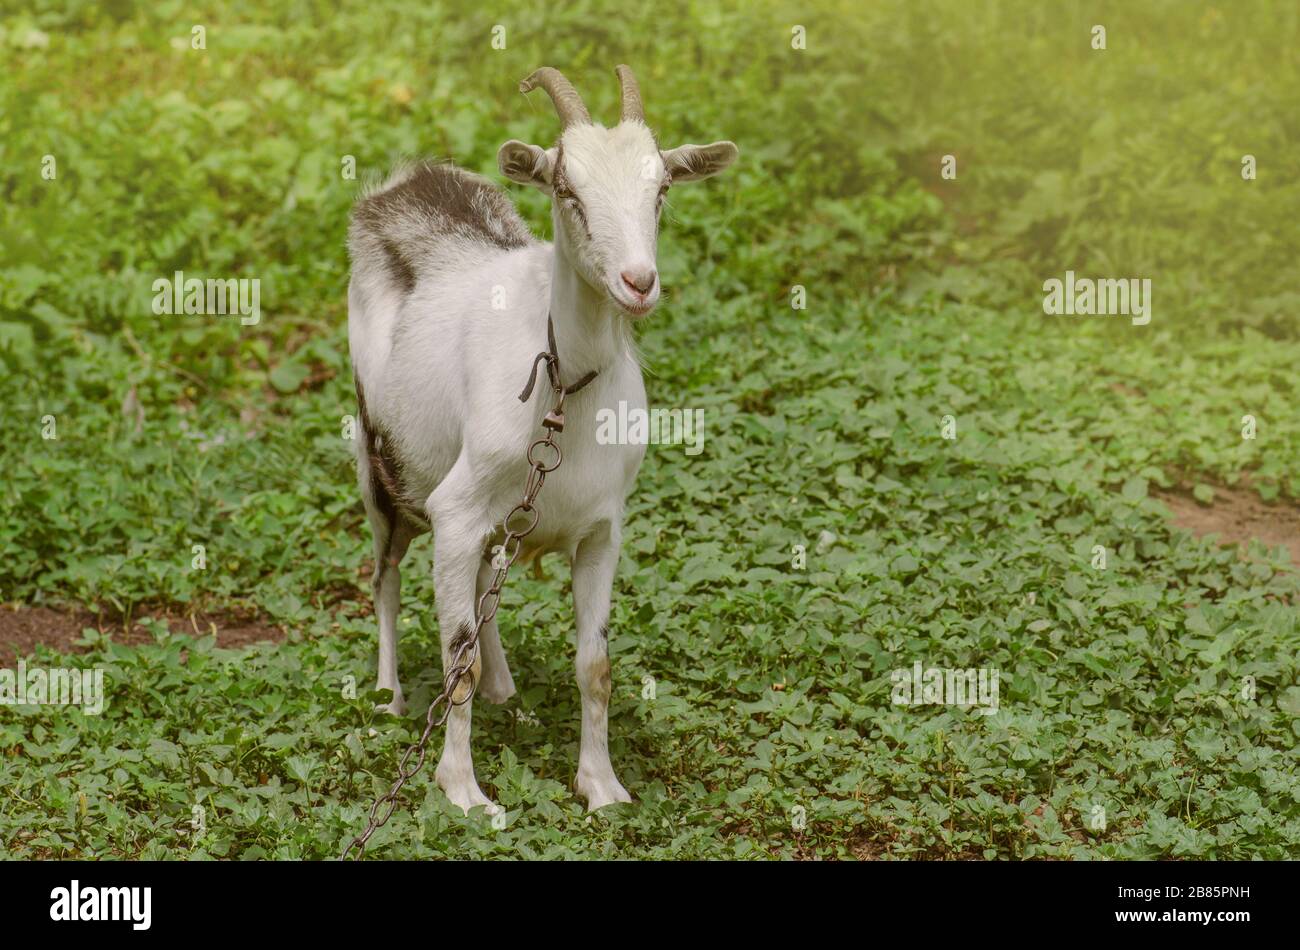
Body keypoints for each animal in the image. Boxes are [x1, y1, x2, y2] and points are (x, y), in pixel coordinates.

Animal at [346, 65, 737, 813]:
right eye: (567, 188)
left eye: (662, 189)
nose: (638, 282)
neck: (563, 389)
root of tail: (408, 183)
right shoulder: (454, 510)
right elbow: (456, 658)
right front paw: (463, 791)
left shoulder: (601, 530)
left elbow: (596, 665)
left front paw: (602, 786)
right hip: (378, 462)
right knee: (385, 575)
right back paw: (386, 695)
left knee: (481, 585)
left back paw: (507, 692)